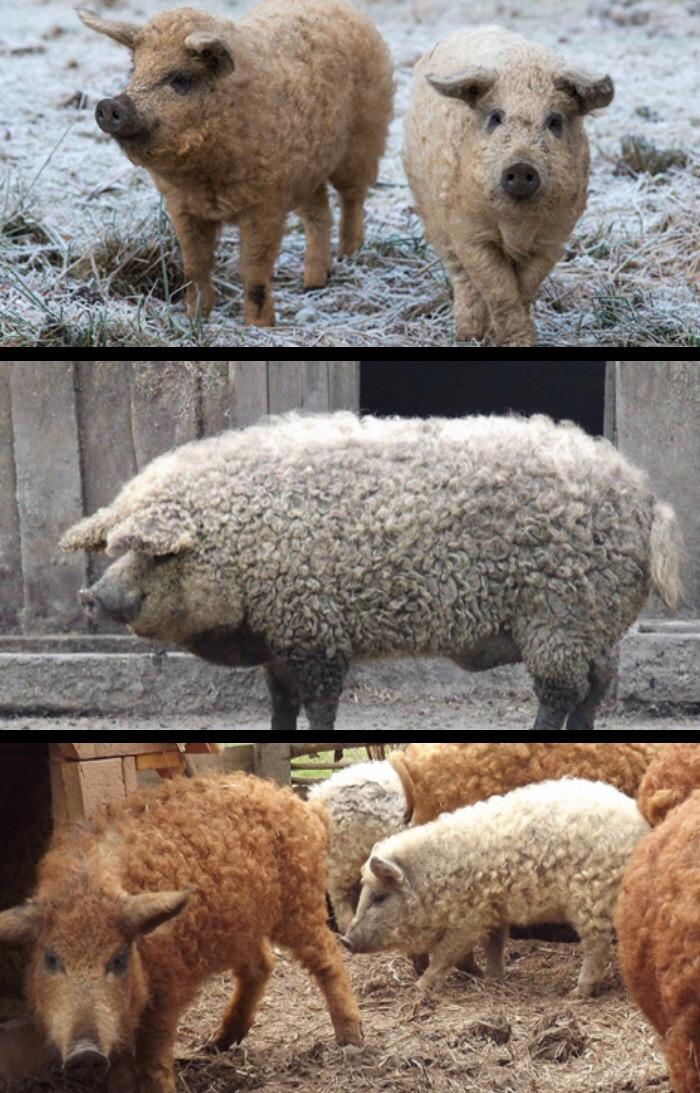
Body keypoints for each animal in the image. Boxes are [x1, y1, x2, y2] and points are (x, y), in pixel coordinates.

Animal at [0, 774, 362, 1092]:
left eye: (118, 959)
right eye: (51, 959)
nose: (85, 1053)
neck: (87, 886)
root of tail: (301, 806)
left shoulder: (166, 988)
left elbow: (154, 1056)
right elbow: (120, 1066)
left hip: (300, 906)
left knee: (328, 957)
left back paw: (351, 1039)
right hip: (240, 924)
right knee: (261, 966)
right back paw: (216, 1043)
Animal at [78, 0, 393, 325]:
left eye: (180, 79)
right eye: (134, 69)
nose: (108, 105)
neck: (203, 176)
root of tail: (345, 9)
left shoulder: (265, 203)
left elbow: (254, 270)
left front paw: (260, 326)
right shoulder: (182, 206)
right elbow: (195, 265)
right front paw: (195, 317)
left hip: (365, 137)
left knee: (352, 198)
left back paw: (349, 254)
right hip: (307, 170)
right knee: (319, 212)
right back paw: (313, 283)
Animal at [343, 779, 650, 997]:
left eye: (379, 896)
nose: (345, 940)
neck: (434, 879)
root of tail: (641, 830)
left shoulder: (469, 918)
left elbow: (446, 953)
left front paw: (420, 989)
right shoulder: (493, 911)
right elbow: (494, 945)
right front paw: (493, 979)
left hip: (589, 897)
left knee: (597, 944)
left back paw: (576, 993)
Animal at [402, 26, 614, 346]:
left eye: (554, 121)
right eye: (496, 117)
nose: (521, 166)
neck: (517, 224)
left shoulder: (554, 237)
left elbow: (523, 286)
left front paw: (512, 339)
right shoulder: (470, 233)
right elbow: (499, 288)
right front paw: (500, 338)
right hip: (430, 210)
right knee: (460, 274)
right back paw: (466, 333)